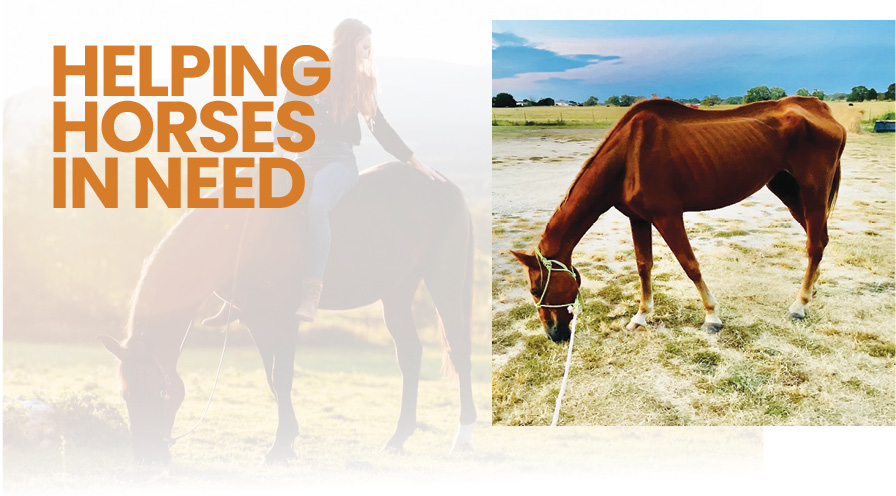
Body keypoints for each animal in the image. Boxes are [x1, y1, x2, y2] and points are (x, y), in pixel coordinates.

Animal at [99, 162, 477, 464]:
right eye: (125, 395)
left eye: (160, 392)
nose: (147, 457)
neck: (236, 235)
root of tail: (446, 185)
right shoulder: (257, 318)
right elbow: (272, 379)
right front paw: (289, 441)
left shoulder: (283, 319)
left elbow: (282, 377)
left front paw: (280, 446)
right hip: (396, 293)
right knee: (410, 355)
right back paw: (398, 438)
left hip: (443, 282)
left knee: (459, 351)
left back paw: (463, 436)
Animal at [511, 96, 845, 342]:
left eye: (535, 290)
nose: (554, 334)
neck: (629, 155)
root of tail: (822, 109)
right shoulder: (638, 219)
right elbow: (643, 266)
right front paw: (640, 316)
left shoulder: (668, 216)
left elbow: (690, 265)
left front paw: (712, 317)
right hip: (787, 189)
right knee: (819, 238)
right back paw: (811, 291)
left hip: (812, 191)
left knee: (814, 245)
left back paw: (799, 306)